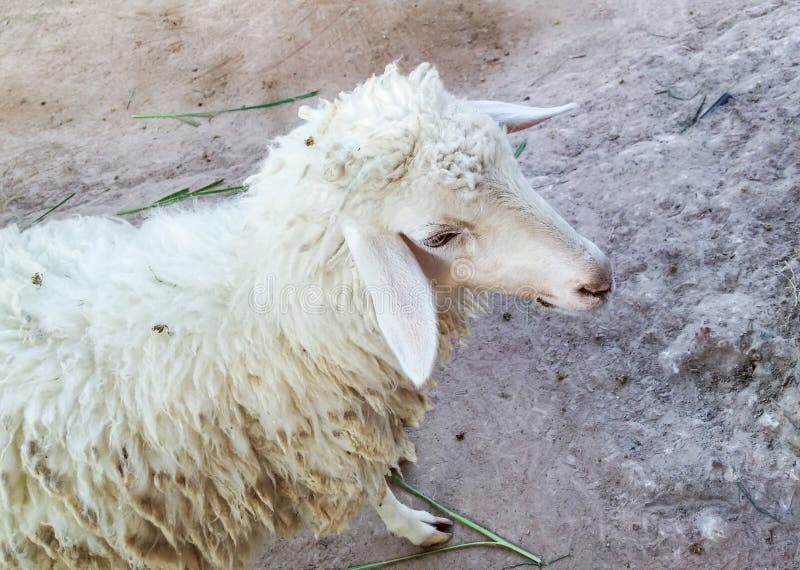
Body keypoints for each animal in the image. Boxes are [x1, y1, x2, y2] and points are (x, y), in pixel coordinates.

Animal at [0, 62, 612, 569]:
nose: (599, 277)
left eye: (512, 159)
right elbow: (368, 483)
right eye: (439, 236)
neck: (266, 321)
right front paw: (412, 526)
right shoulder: (316, 436)